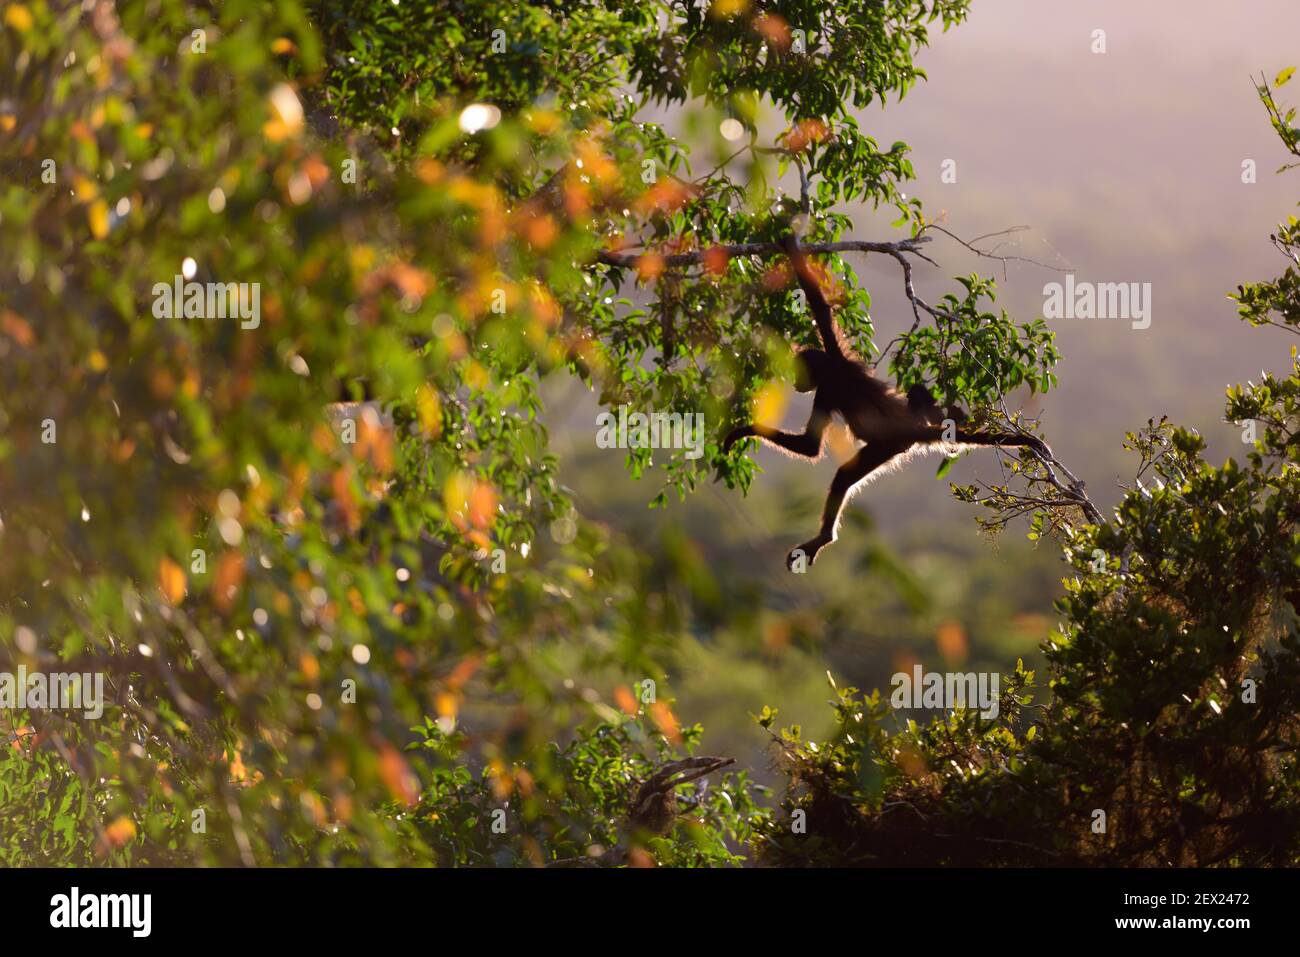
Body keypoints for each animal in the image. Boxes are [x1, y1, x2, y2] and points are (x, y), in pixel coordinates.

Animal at [723, 233, 1051, 570]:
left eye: (800, 374)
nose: (797, 384)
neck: (833, 368)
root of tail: (912, 428)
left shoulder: (827, 385)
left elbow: (810, 446)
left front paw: (742, 431)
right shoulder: (841, 358)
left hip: (887, 446)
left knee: (844, 476)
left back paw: (823, 538)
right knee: (918, 394)